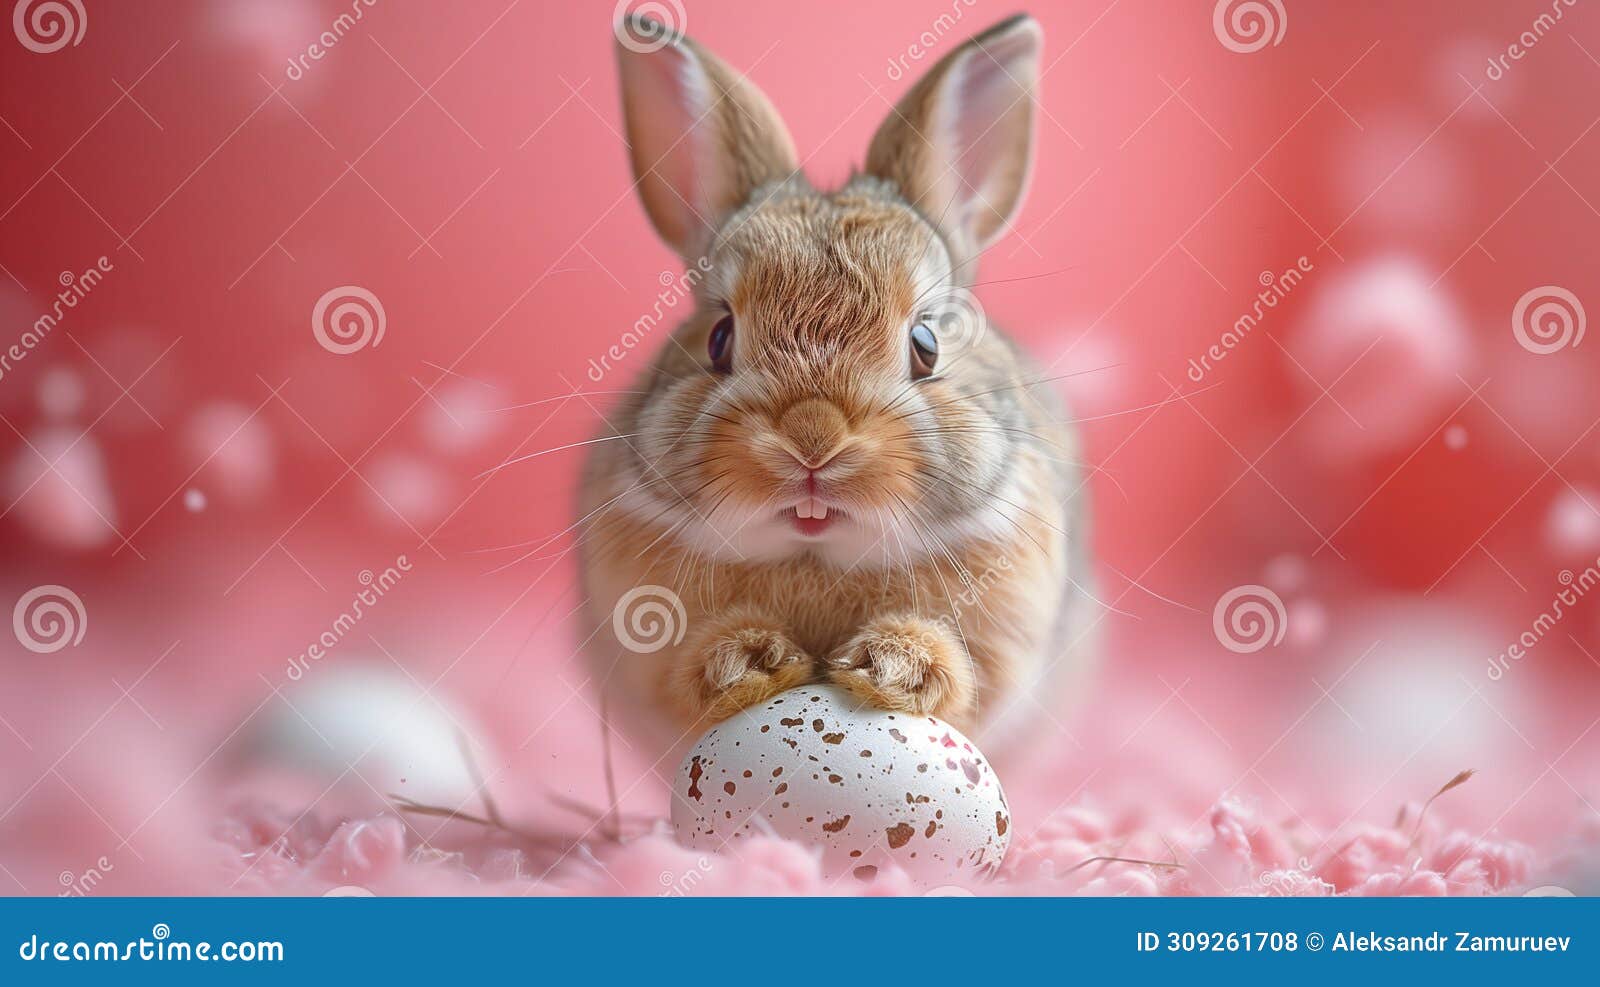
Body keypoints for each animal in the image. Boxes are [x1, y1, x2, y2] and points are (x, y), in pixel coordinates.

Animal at [579, 12, 1097, 758]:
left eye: (926, 345)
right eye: (719, 338)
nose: (812, 438)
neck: (816, 557)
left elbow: (965, 680)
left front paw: (891, 664)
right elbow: (682, 682)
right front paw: (750, 659)